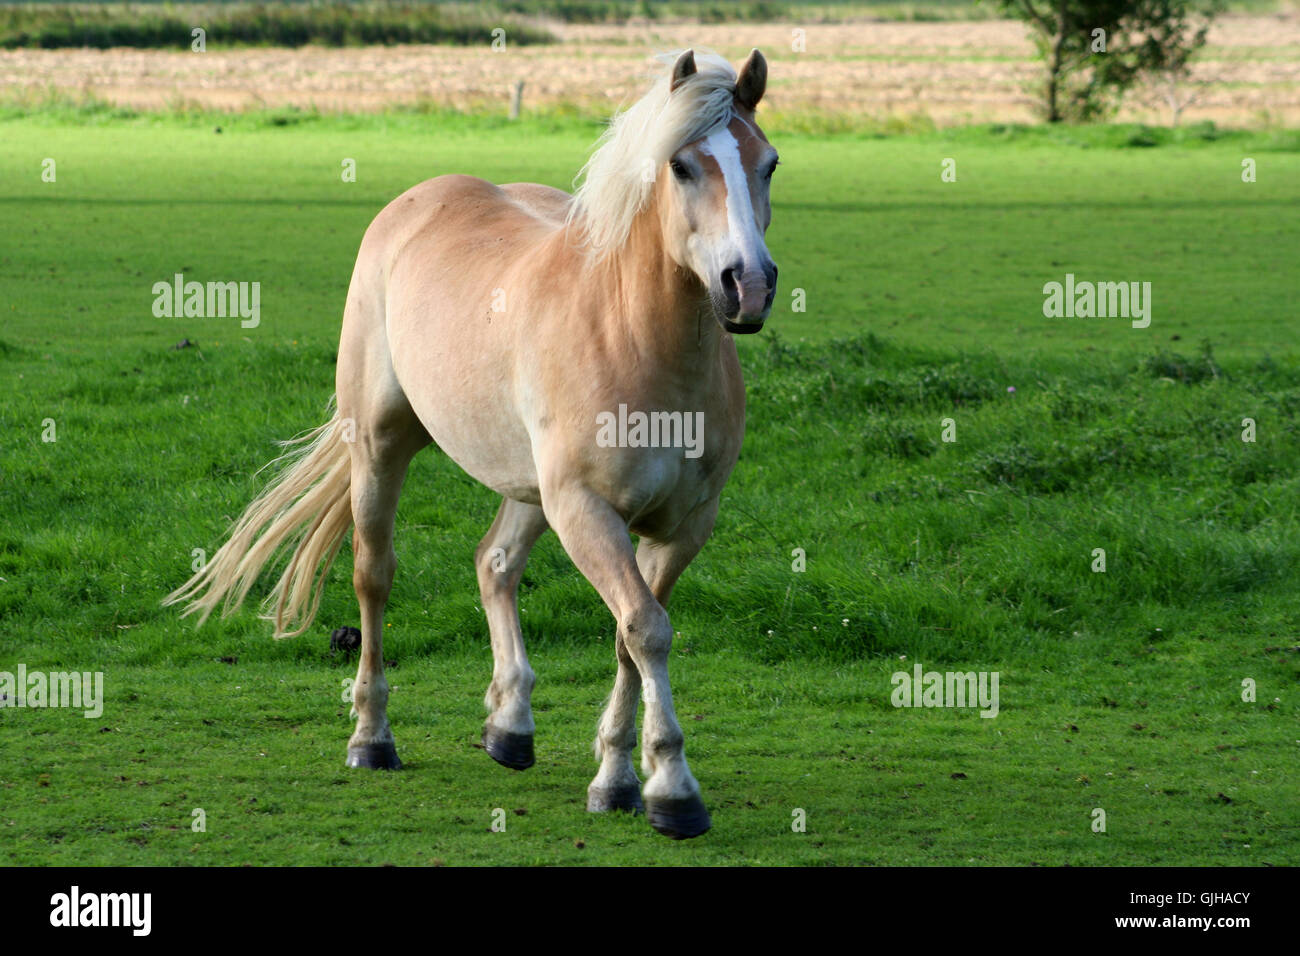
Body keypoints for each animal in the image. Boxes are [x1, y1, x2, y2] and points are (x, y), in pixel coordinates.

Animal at [165, 48, 779, 840]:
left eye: (768, 164)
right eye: (681, 165)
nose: (749, 286)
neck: (639, 338)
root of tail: (419, 201)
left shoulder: (682, 527)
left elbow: (628, 635)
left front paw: (616, 778)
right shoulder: (587, 511)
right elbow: (645, 629)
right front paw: (673, 789)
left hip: (528, 486)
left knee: (495, 565)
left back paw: (509, 726)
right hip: (382, 447)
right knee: (373, 576)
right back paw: (372, 738)